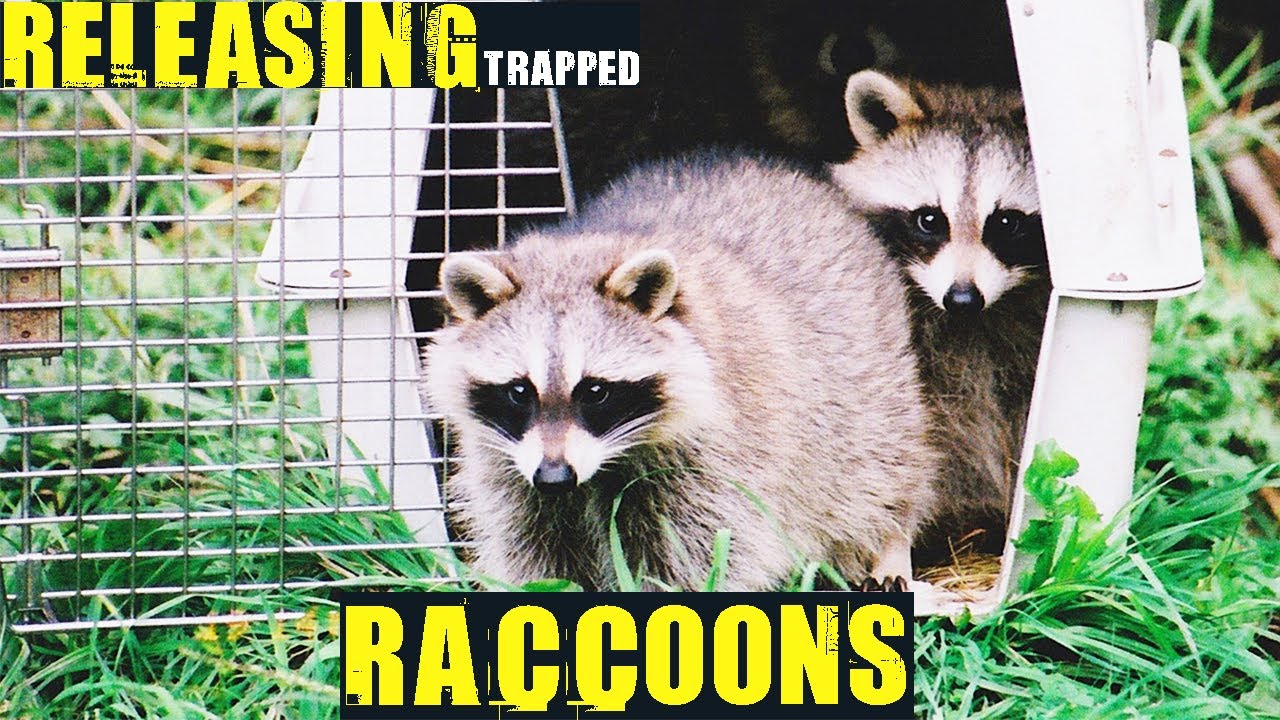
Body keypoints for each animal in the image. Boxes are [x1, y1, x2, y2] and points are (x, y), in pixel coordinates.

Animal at [422, 154, 937, 591]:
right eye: (518, 390)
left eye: (595, 391)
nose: (554, 477)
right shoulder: (505, 460)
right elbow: (533, 547)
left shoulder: (723, 451)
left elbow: (697, 551)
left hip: (866, 380)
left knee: (877, 465)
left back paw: (891, 539)